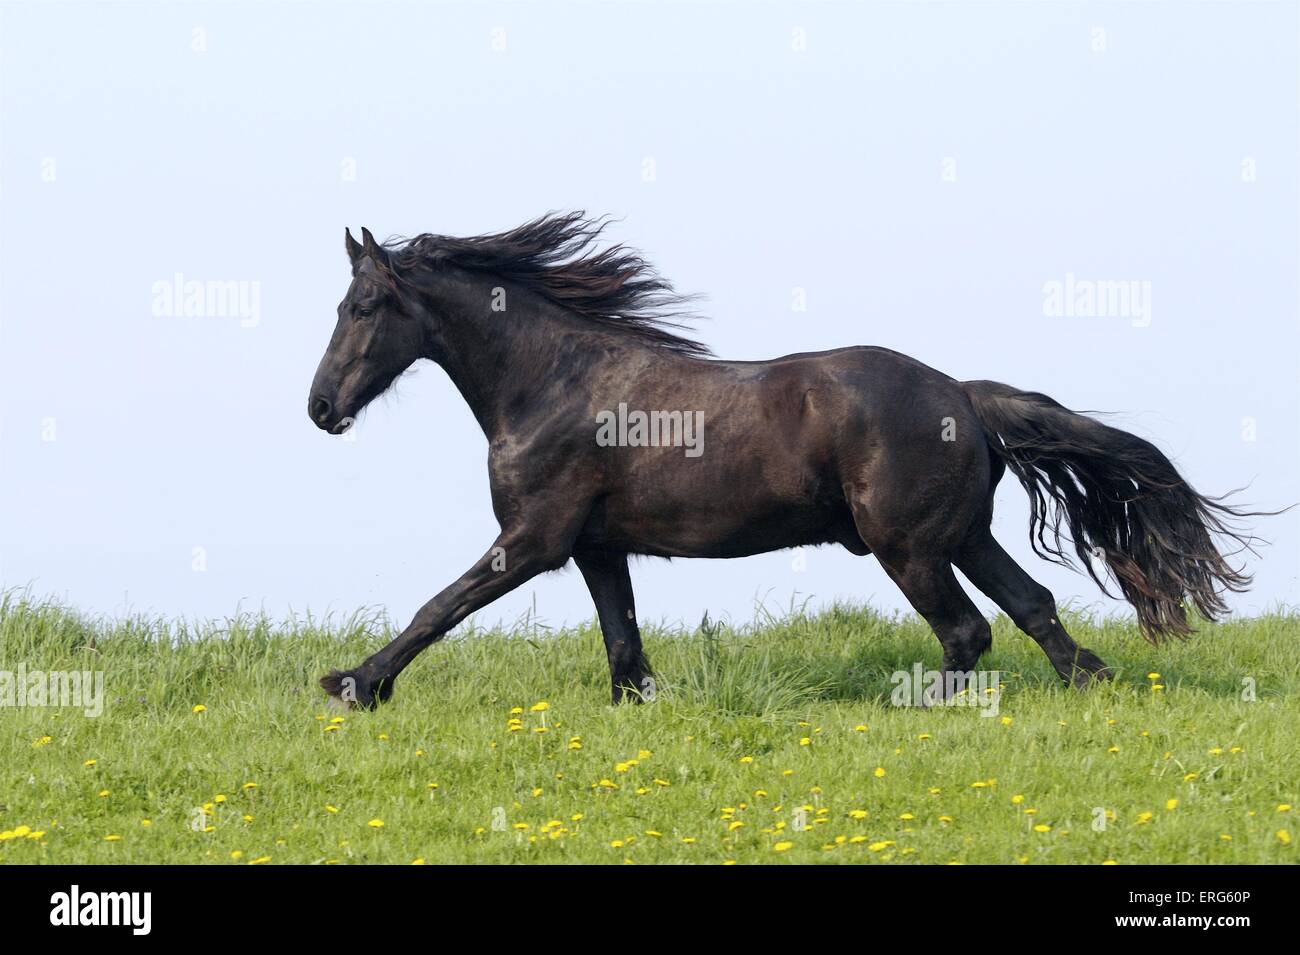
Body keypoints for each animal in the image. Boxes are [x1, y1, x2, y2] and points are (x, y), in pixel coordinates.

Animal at [308, 212, 1258, 708]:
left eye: (363, 305)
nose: (319, 407)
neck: (553, 384)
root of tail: (961, 394)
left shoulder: (533, 539)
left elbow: (439, 606)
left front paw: (354, 682)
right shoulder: (597, 547)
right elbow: (623, 646)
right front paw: (638, 708)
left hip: (907, 545)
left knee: (969, 629)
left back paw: (912, 708)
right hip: (959, 537)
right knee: (1034, 607)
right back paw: (1095, 684)